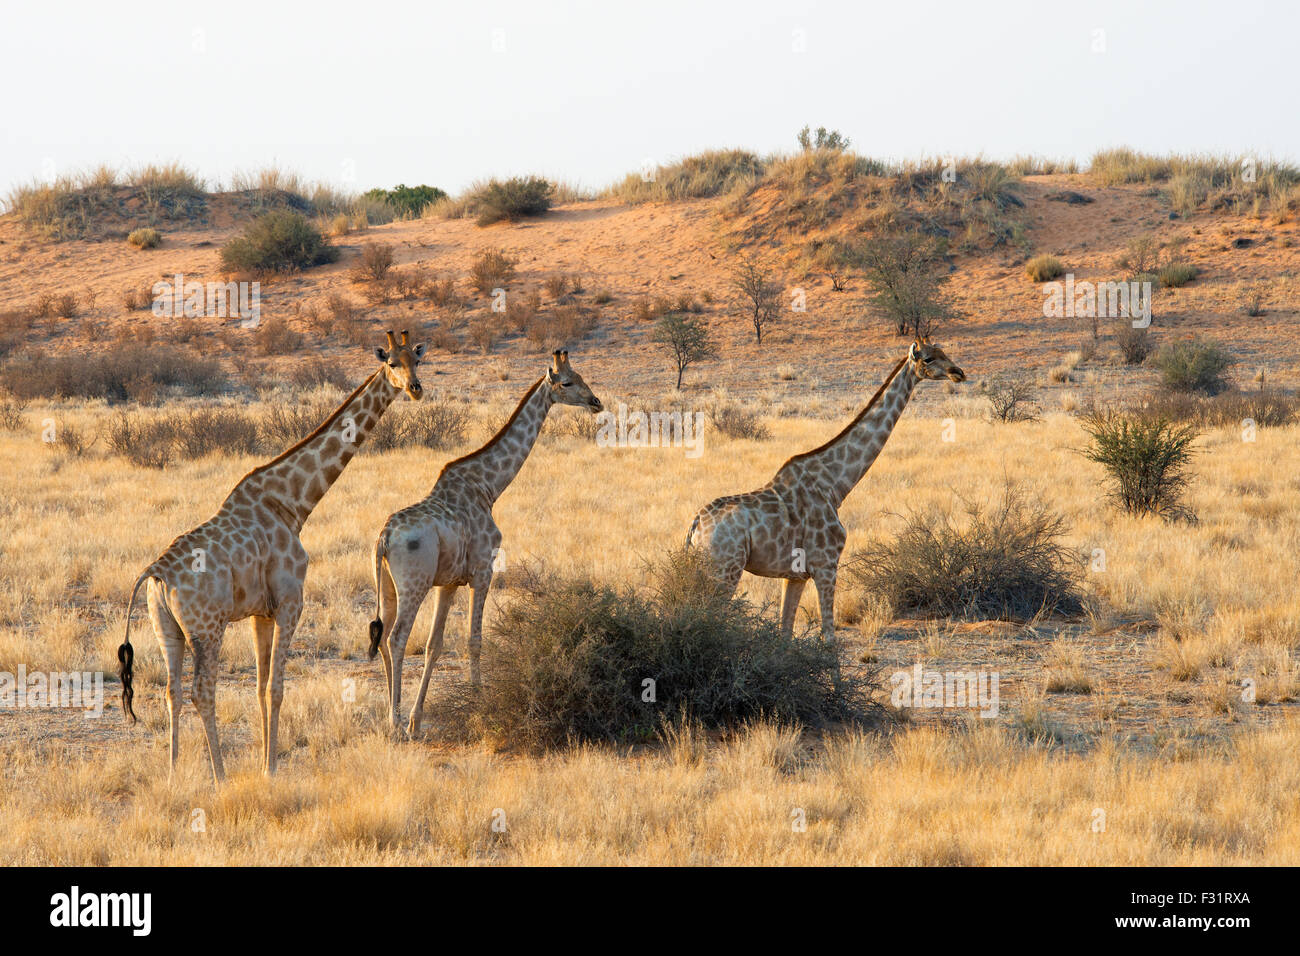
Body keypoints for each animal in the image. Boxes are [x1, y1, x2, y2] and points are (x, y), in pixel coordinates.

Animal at [117, 330, 426, 783]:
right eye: (391, 363)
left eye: (417, 360)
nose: (416, 389)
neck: (293, 503)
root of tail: (156, 573)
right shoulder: (290, 602)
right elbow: (276, 689)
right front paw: (271, 769)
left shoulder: (259, 613)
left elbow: (261, 690)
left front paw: (268, 763)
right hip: (207, 628)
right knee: (201, 692)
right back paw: (220, 776)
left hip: (166, 628)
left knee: (172, 692)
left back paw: (173, 776)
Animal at [368, 349, 602, 738]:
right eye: (568, 382)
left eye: (583, 377)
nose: (596, 402)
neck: (489, 487)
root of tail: (384, 538)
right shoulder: (483, 570)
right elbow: (474, 640)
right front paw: (477, 703)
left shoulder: (447, 582)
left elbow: (434, 646)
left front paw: (418, 720)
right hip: (413, 584)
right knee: (396, 638)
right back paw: (393, 722)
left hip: (387, 584)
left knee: (383, 636)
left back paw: (397, 719)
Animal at [686, 339, 965, 641]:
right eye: (927, 358)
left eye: (944, 352)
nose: (958, 372)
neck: (835, 484)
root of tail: (696, 525)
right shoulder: (826, 565)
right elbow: (829, 637)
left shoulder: (794, 575)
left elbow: (785, 632)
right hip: (725, 570)